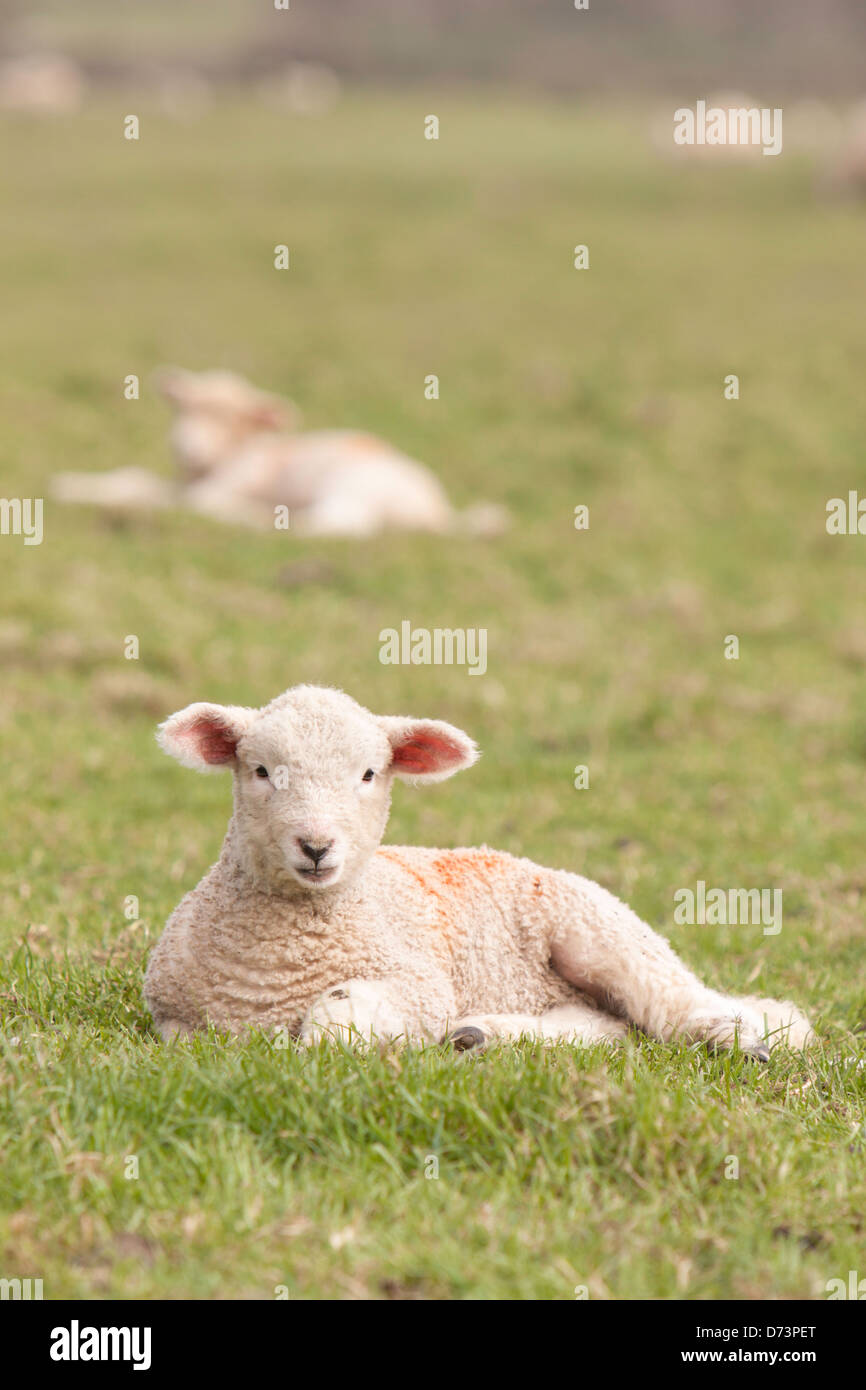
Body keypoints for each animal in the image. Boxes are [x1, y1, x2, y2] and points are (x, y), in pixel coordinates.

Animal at [144, 684, 812, 1057]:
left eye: (369, 774)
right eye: (260, 771)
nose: (315, 846)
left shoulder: (416, 982)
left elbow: (337, 1020)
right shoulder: (173, 1020)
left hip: (603, 931)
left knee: (673, 1004)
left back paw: (736, 1037)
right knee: (610, 1027)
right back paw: (481, 1035)